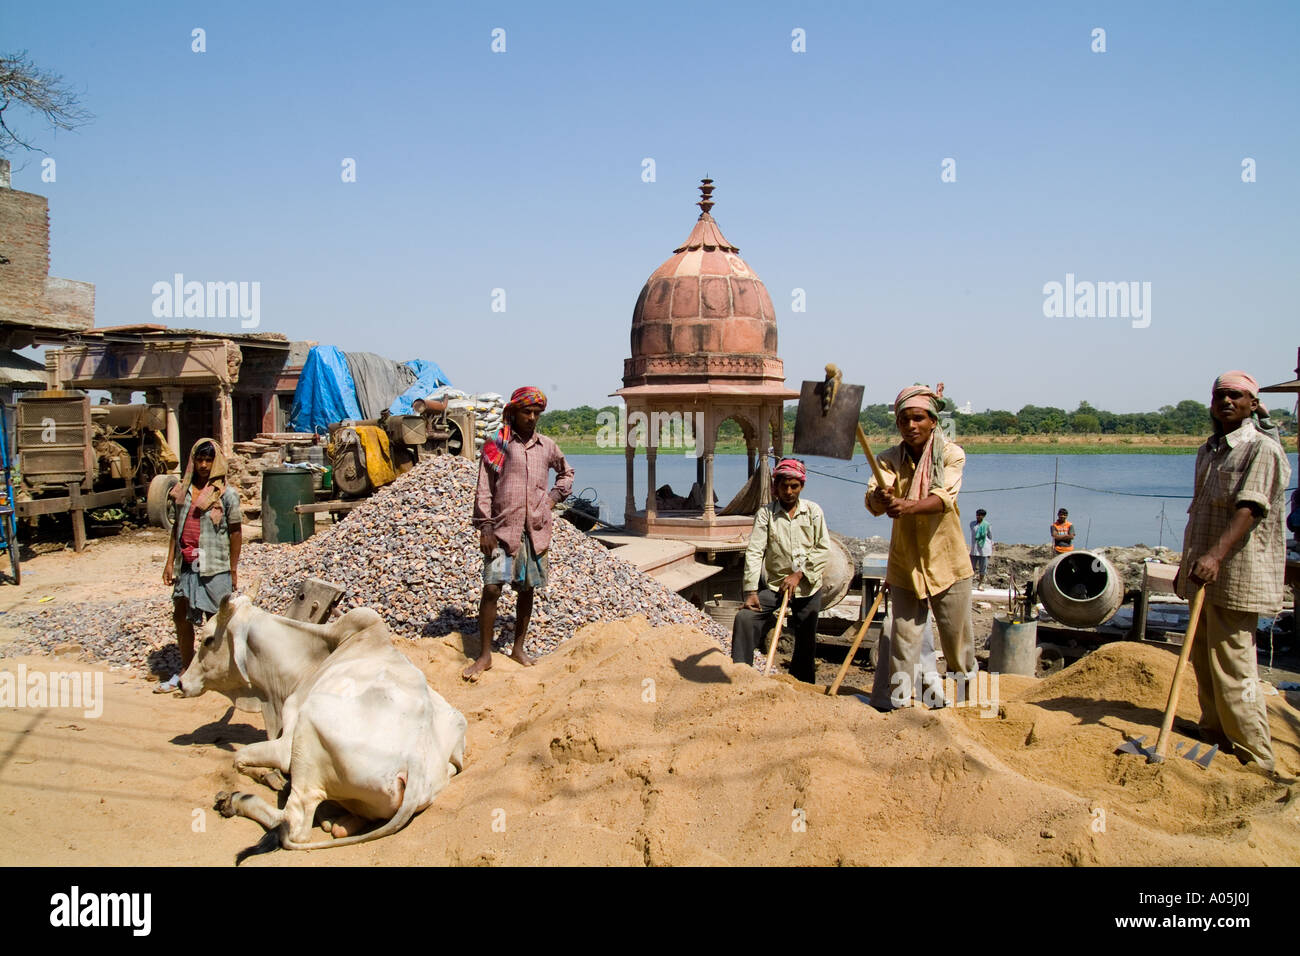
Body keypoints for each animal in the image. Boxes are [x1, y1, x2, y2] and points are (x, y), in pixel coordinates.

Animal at [180, 593, 467, 863]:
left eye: (207, 640)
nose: (182, 683)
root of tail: (415, 764)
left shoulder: (286, 743)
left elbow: (239, 757)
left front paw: (268, 777)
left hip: (308, 734)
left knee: (293, 826)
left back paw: (235, 801)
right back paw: (339, 821)